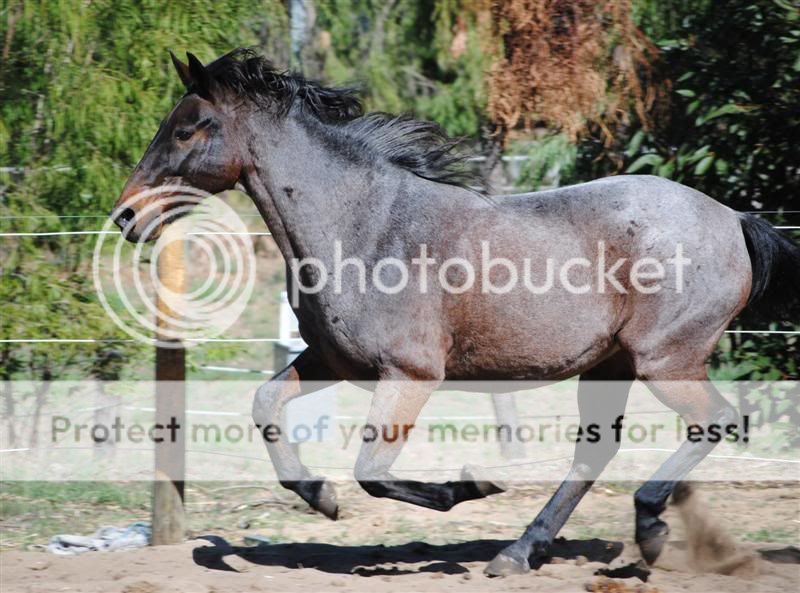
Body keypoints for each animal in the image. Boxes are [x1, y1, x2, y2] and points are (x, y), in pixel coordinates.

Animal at [111, 49, 800, 576]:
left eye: (188, 127)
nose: (125, 216)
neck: (364, 228)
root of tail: (733, 220)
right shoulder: (334, 360)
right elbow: (266, 407)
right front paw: (321, 499)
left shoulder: (411, 374)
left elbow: (372, 470)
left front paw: (470, 486)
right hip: (609, 365)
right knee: (595, 453)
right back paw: (519, 553)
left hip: (666, 360)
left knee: (716, 422)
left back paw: (648, 528)